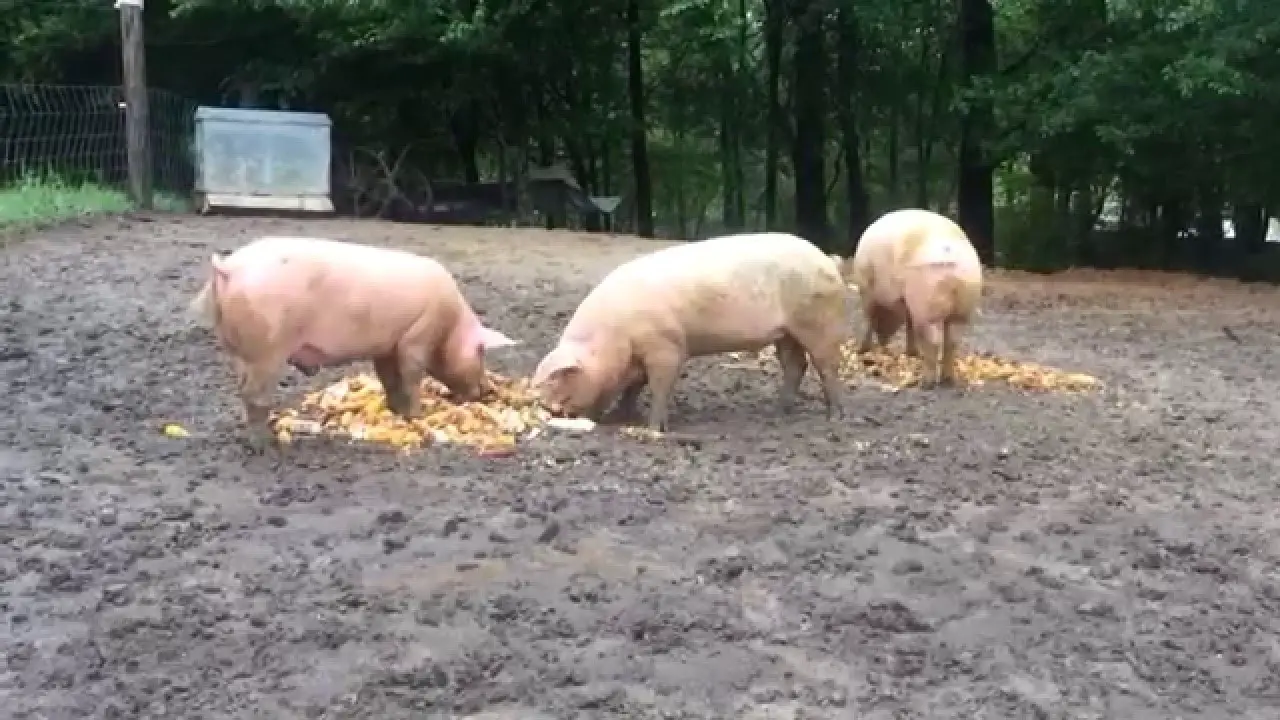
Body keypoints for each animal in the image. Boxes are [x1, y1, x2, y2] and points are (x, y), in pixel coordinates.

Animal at [188, 235, 519, 451]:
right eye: (481, 352)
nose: (485, 392)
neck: (451, 325)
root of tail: (229, 268)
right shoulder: (416, 338)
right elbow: (412, 374)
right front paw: (417, 415)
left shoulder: (386, 347)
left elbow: (389, 378)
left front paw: (397, 412)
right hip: (268, 349)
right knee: (254, 394)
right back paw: (265, 445)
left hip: (238, 350)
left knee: (242, 390)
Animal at [530, 232, 850, 432]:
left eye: (563, 382)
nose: (548, 410)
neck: (614, 336)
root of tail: (828, 260)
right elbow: (634, 387)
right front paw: (623, 416)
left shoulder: (667, 347)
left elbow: (659, 385)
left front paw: (653, 428)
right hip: (785, 333)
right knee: (795, 364)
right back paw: (777, 412)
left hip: (817, 321)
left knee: (825, 365)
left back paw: (835, 417)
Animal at [831, 208, 983, 387]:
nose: (883, 344)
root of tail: (953, 263)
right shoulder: (908, 306)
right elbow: (909, 324)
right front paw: (911, 353)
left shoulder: (867, 291)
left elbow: (868, 319)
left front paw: (863, 351)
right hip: (965, 304)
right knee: (952, 341)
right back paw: (948, 380)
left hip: (926, 303)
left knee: (933, 341)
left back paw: (926, 383)